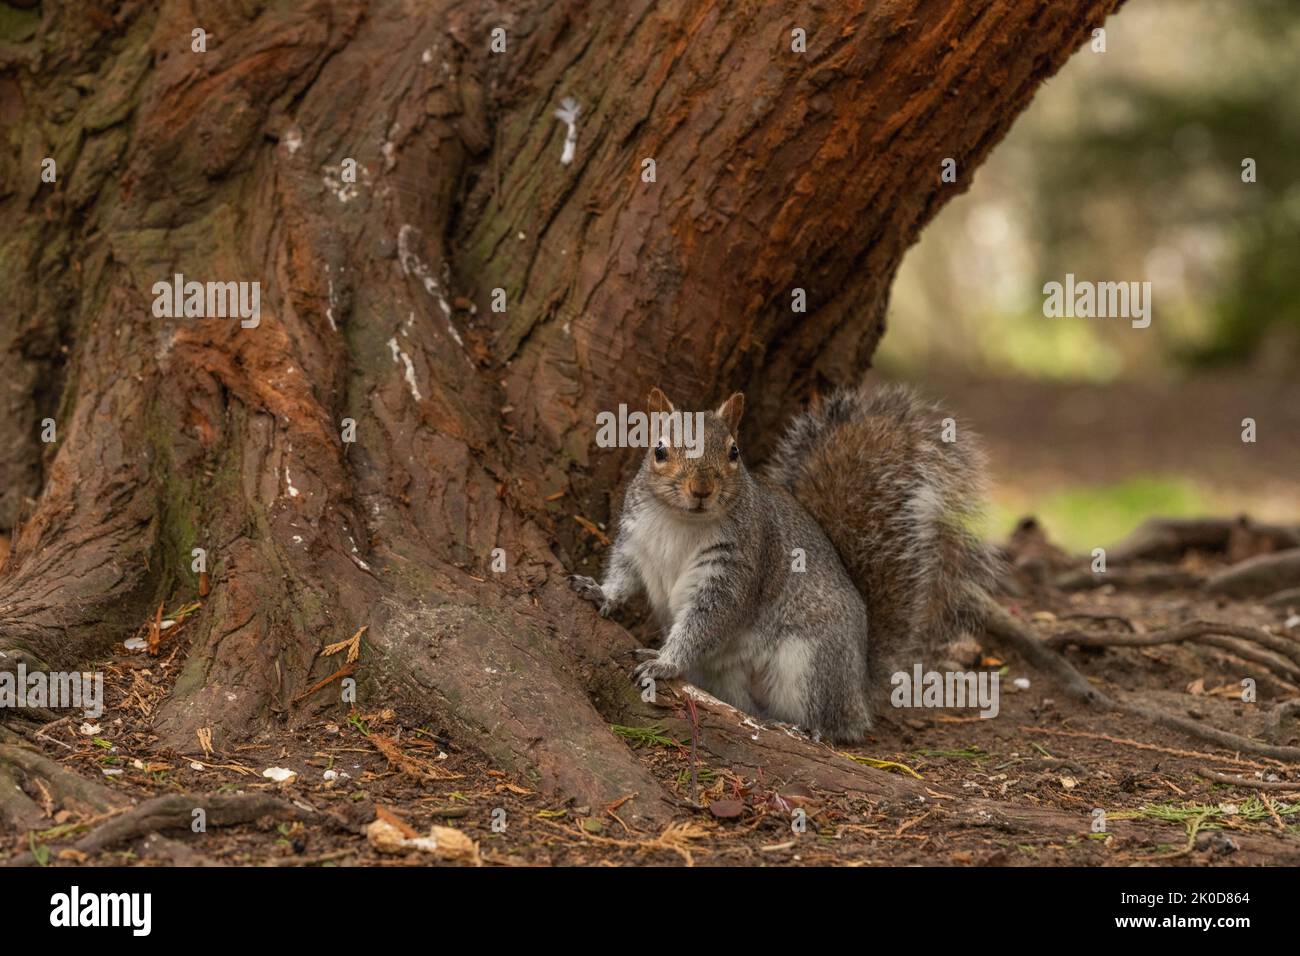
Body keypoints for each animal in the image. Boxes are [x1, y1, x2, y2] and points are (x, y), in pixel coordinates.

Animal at [570, 382, 998, 743]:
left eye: (734, 452)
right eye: (659, 451)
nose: (701, 489)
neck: (681, 521)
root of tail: (859, 684)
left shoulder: (738, 564)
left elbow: (708, 621)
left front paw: (663, 662)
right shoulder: (634, 540)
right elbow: (623, 577)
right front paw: (600, 594)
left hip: (812, 663)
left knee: (836, 723)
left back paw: (810, 729)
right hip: (729, 676)